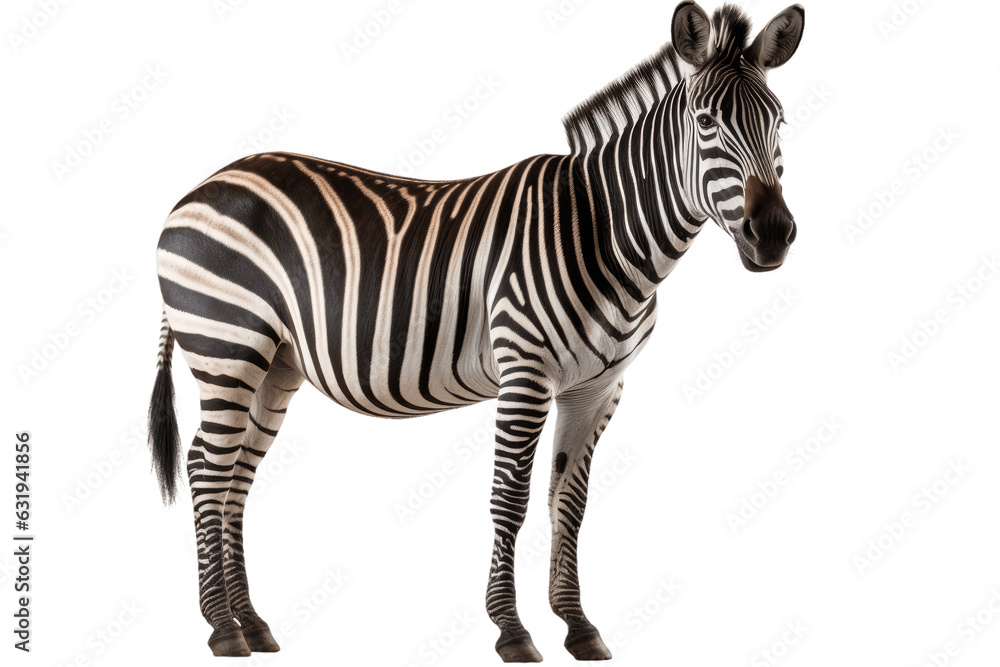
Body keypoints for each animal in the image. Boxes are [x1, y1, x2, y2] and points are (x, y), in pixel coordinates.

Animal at [148, 2, 804, 661]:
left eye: (780, 122)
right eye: (706, 123)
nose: (773, 234)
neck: (604, 232)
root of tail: (202, 187)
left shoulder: (598, 388)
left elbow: (569, 503)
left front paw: (578, 625)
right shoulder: (526, 374)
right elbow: (509, 500)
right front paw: (512, 630)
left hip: (275, 361)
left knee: (236, 473)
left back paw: (252, 621)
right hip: (227, 344)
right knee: (207, 466)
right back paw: (222, 628)